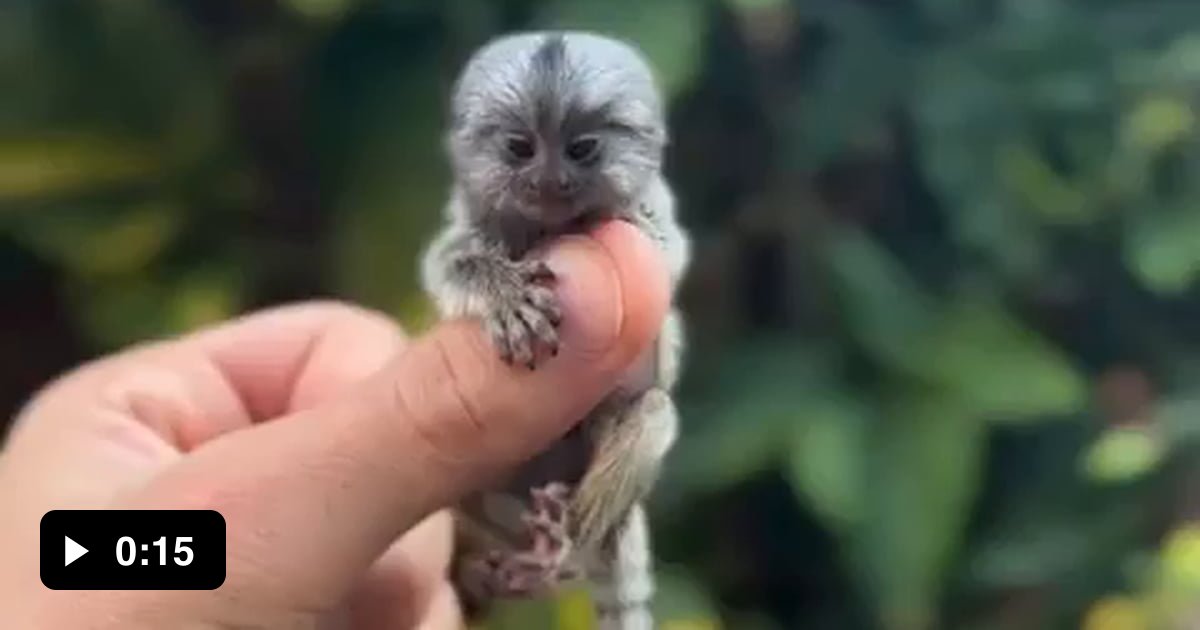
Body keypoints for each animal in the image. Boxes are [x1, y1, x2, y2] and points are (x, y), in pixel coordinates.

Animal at [419, 31, 689, 630]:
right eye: (521, 147)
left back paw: (565, 542)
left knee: (654, 411)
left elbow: (665, 253)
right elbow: (449, 264)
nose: (550, 181)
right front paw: (504, 295)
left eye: (581, 149)